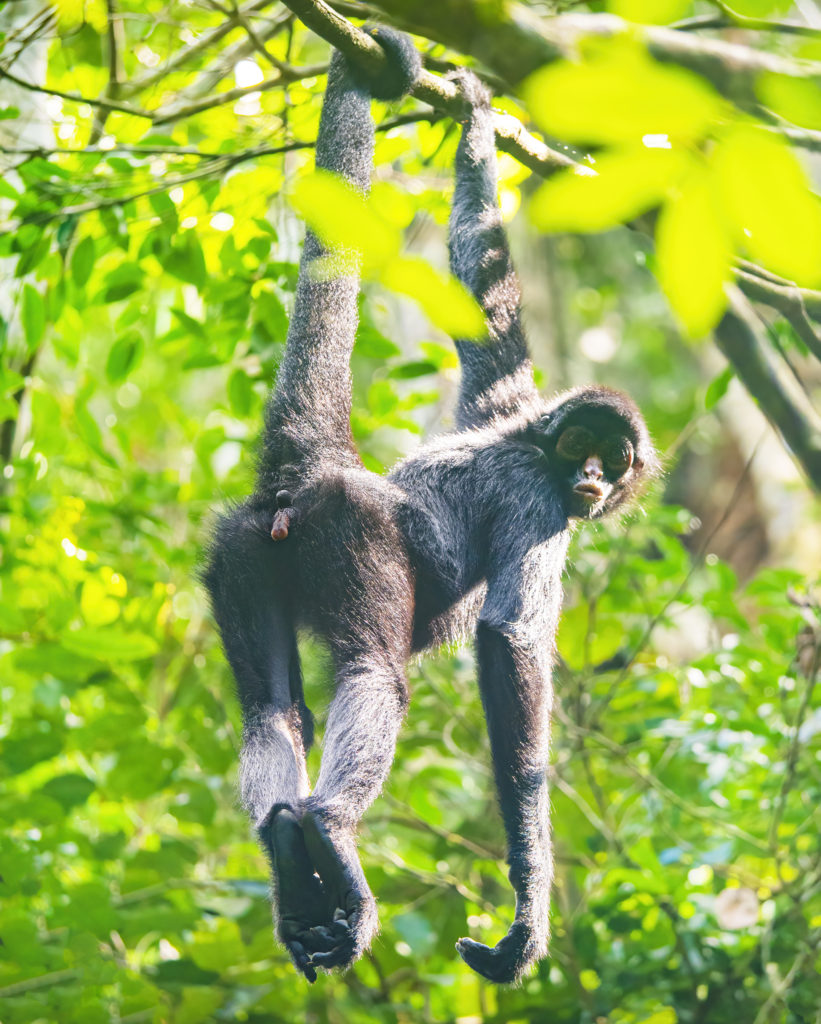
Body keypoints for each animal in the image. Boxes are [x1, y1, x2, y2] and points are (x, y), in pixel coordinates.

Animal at [203, 34, 658, 987]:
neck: (532, 443)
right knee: (375, 670)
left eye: (613, 460)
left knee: (271, 709)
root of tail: (318, 467)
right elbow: (507, 642)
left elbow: (480, 287)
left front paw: (478, 117)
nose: (592, 479)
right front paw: (528, 909)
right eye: (581, 452)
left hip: (242, 553)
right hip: (356, 536)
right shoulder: (539, 501)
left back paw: (289, 854)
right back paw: (329, 830)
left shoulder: (507, 403)